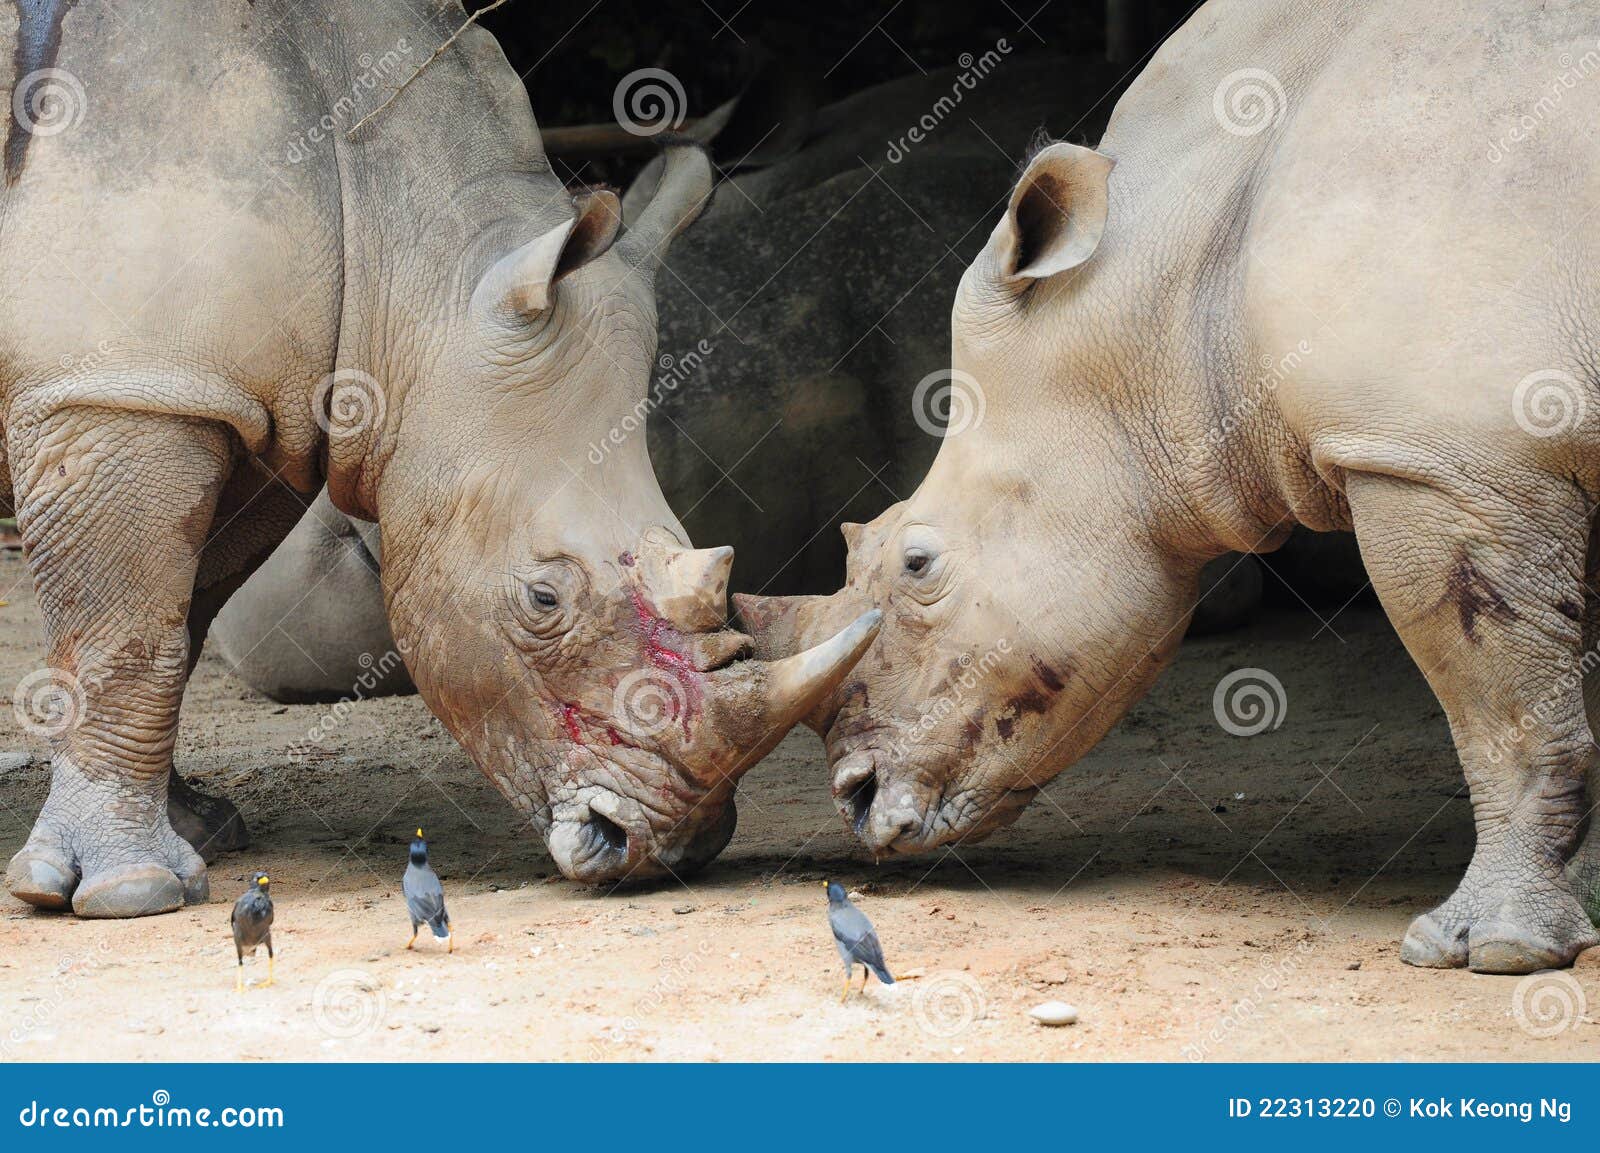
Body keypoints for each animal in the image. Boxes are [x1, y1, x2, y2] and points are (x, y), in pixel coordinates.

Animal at [0, 0, 878, 915]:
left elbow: (185, 608)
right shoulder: (119, 388)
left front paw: (200, 830)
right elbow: (125, 627)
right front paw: (132, 890)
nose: (667, 850)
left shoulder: (235, 406)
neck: (399, 244)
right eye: (542, 598)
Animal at [740, 0, 1600, 973]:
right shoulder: (1499, 451)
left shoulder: (1440, 455)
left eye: (917, 563)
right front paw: (1585, 903)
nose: (854, 796)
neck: (1160, 286)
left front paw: (1493, 948)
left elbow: (1499, 705)